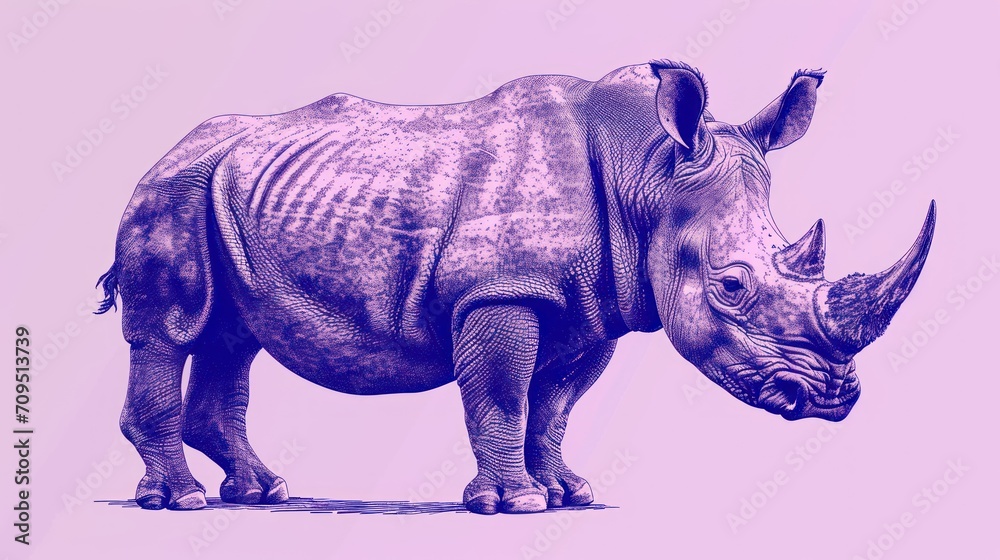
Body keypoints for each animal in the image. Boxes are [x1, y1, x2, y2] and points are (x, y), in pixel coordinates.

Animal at [96, 60, 935, 514]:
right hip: (172, 191)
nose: (834, 400)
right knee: (170, 331)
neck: (647, 172)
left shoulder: (594, 304)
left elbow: (555, 403)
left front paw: (567, 493)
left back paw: (261, 491)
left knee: (232, 339)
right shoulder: (502, 289)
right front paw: (515, 503)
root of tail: (169, 149)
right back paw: (182, 500)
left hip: (221, 191)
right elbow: (502, 391)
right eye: (732, 285)